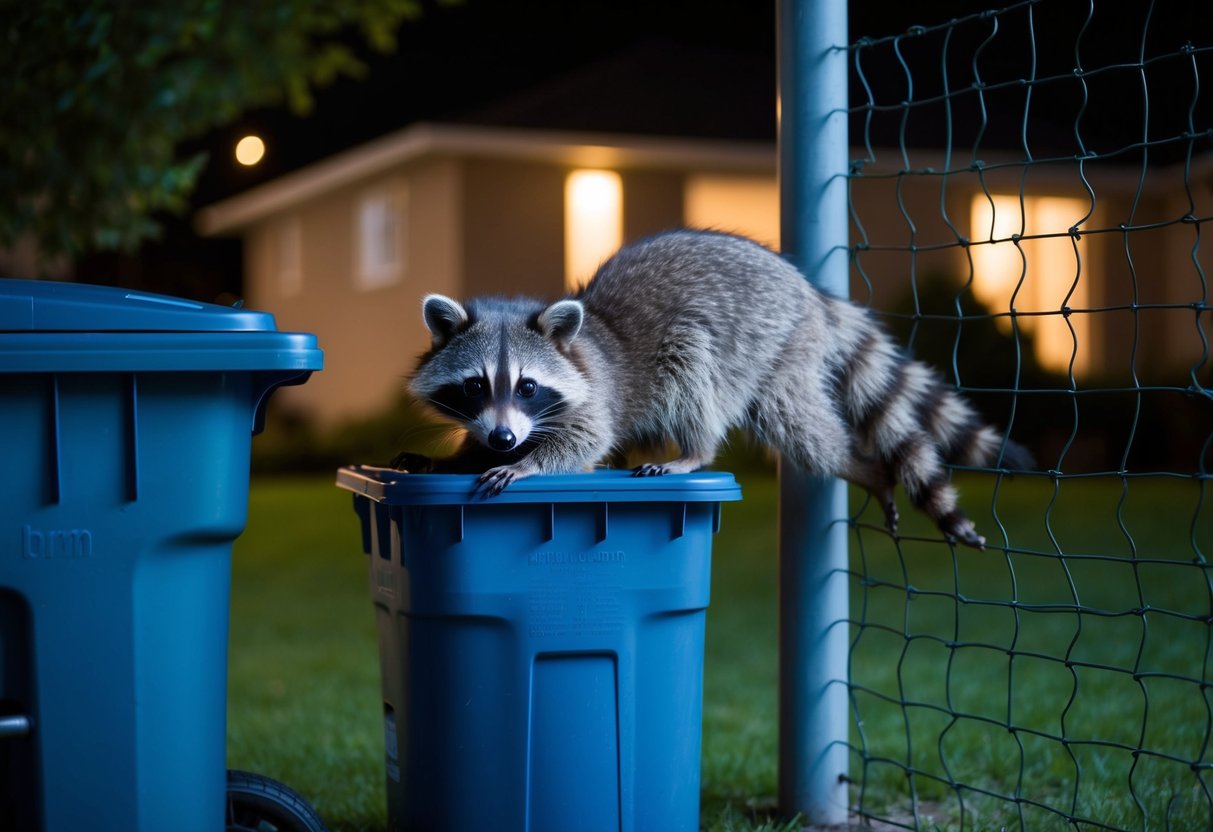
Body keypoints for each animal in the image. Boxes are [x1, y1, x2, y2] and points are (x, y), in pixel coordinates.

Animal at [402, 229, 1029, 550]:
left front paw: (530, 464)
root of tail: (808, 291)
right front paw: (454, 457)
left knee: (736, 389)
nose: (505, 441)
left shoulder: (591, 396)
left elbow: (587, 440)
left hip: (768, 340)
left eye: (528, 386)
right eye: (475, 385)